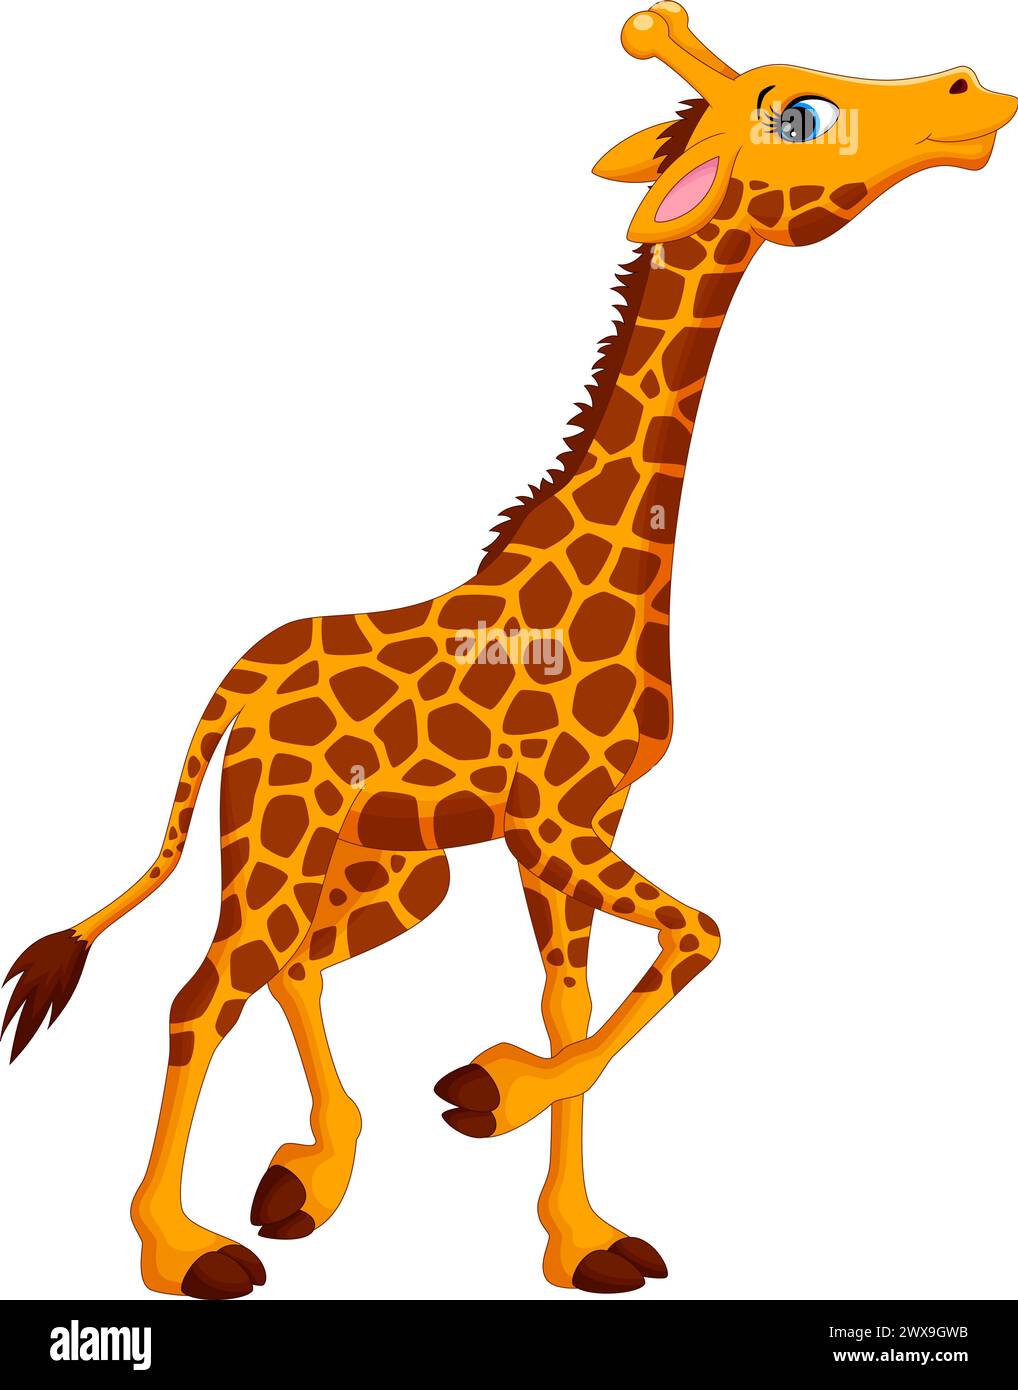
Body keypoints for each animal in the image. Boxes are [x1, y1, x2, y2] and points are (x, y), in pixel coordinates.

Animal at [4, 6, 1014, 1299]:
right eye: (793, 112)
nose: (971, 90)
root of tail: (238, 682)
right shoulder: (554, 820)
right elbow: (693, 937)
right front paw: (490, 1096)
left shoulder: (585, 827)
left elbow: (571, 1001)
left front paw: (578, 1229)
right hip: (277, 836)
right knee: (203, 992)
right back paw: (185, 1248)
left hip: (393, 870)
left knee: (291, 964)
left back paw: (306, 1175)